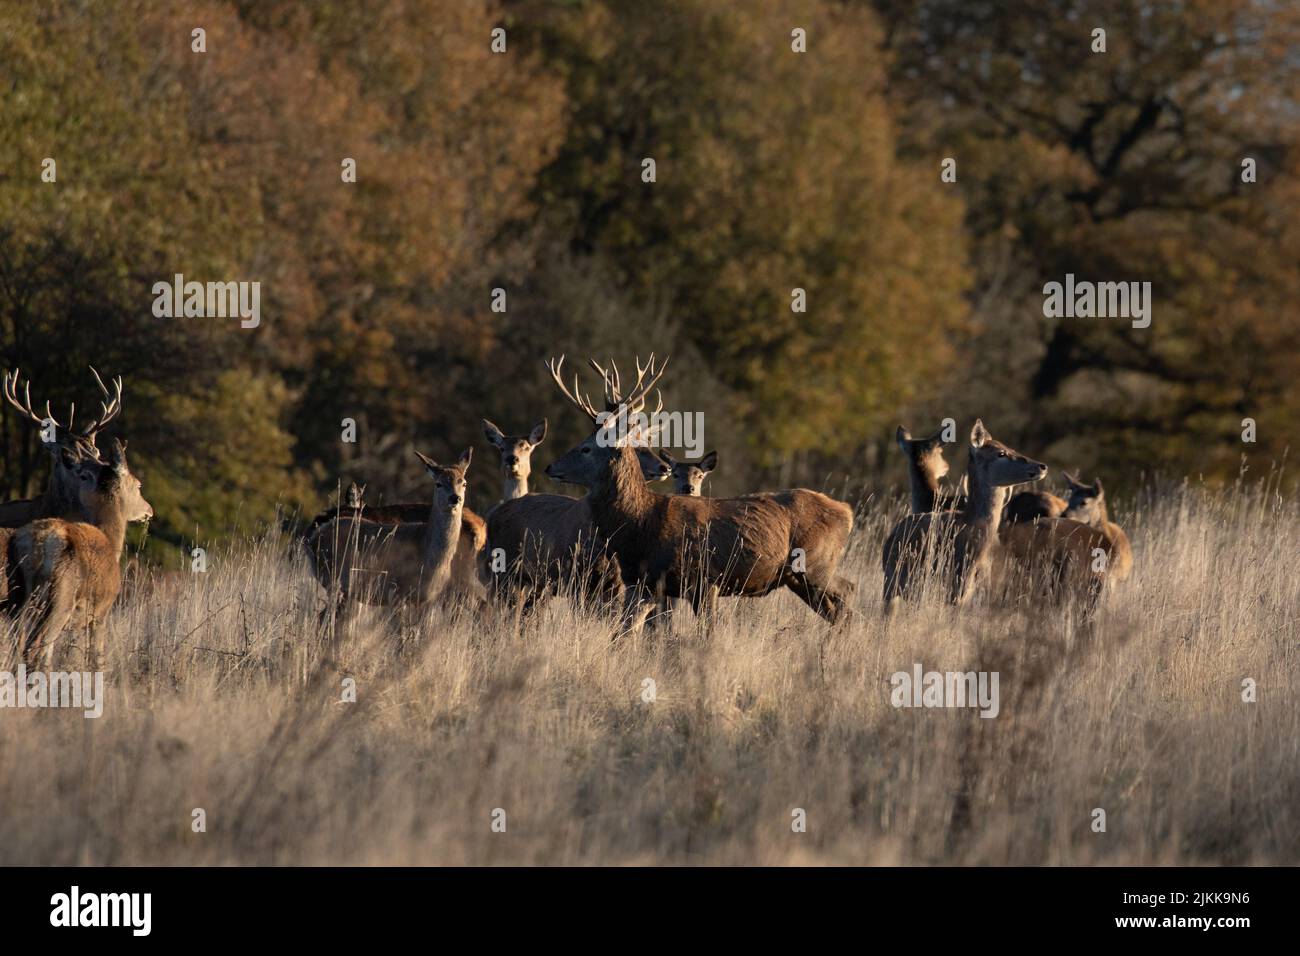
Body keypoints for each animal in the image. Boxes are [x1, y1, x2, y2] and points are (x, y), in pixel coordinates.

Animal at [6, 439, 153, 669]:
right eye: (138, 485)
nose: (149, 510)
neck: (112, 542)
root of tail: (35, 545)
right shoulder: (101, 611)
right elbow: (95, 658)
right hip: (61, 599)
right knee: (36, 647)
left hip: (17, 594)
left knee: (19, 648)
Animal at [306, 449, 474, 624]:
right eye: (438, 483)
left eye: (464, 483)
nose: (455, 498)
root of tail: (312, 537)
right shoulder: (396, 591)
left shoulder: (427, 600)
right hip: (333, 579)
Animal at [543, 355, 855, 631]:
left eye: (585, 448)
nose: (549, 466)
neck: (641, 525)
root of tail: (847, 511)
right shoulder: (645, 584)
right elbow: (625, 631)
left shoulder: (705, 580)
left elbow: (707, 635)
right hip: (799, 578)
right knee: (837, 610)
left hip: (816, 563)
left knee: (847, 593)